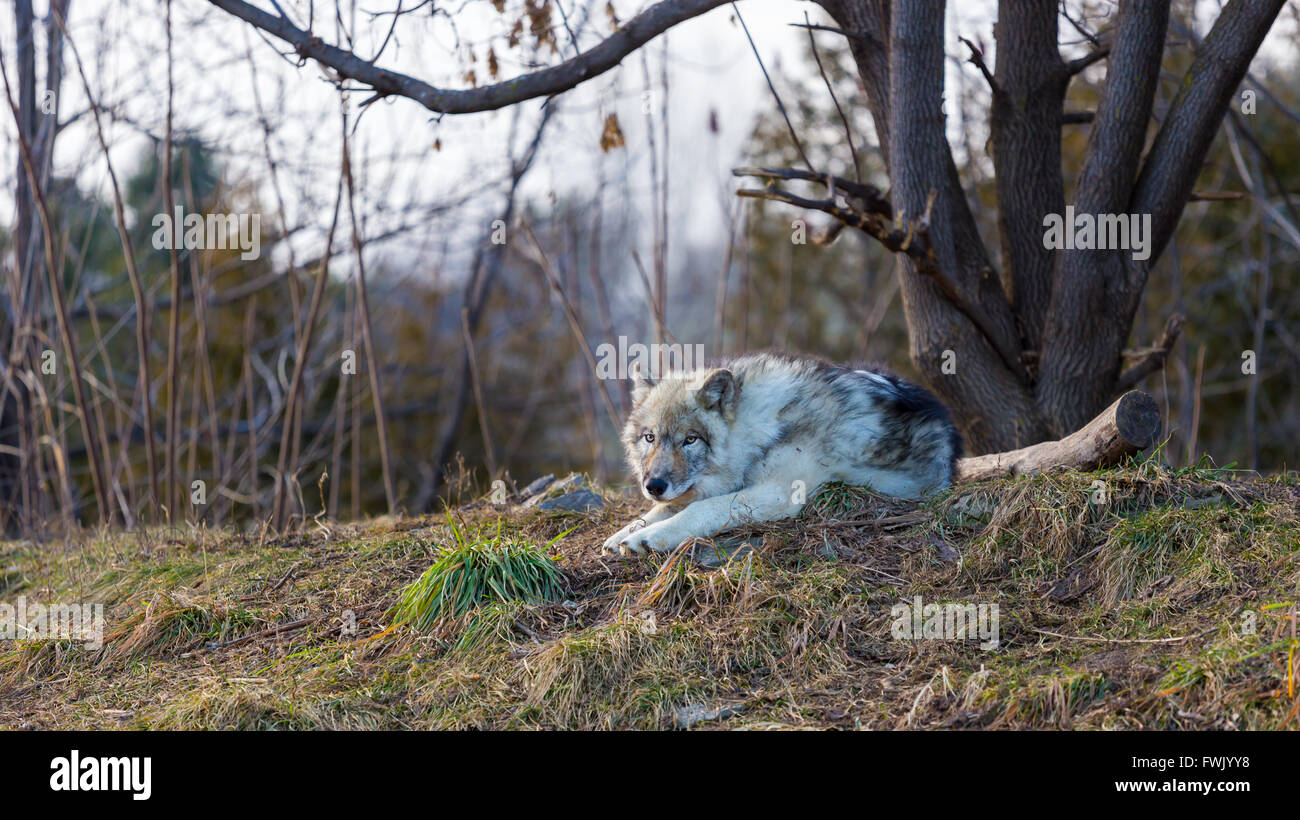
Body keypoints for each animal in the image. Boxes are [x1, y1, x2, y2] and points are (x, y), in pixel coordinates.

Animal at [602, 353, 961, 556]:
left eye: (690, 439)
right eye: (649, 438)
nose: (654, 486)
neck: (758, 425)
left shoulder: (778, 493)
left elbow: (699, 510)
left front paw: (648, 539)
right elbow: (655, 512)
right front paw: (622, 535)